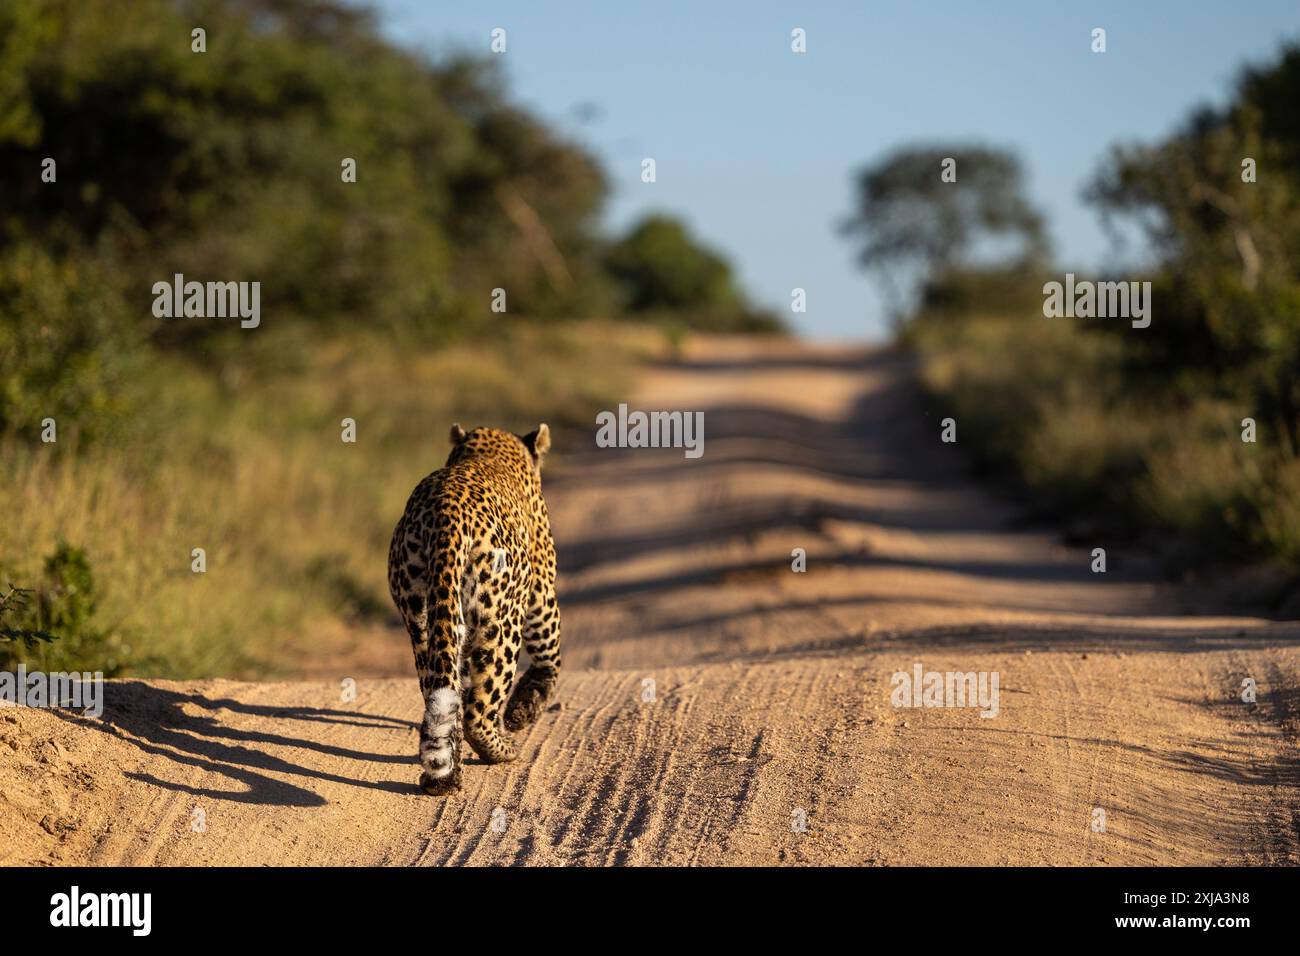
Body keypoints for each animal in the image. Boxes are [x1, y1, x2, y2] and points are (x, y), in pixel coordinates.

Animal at [387, 423, 561, 795]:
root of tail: (446, 517)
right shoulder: (541, 589)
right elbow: (549, 655)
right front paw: (524, 709)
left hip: (423, 619)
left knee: (442, 695)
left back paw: (443, 778)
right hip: (502, 621)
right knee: (477, 712)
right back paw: (502, 749)